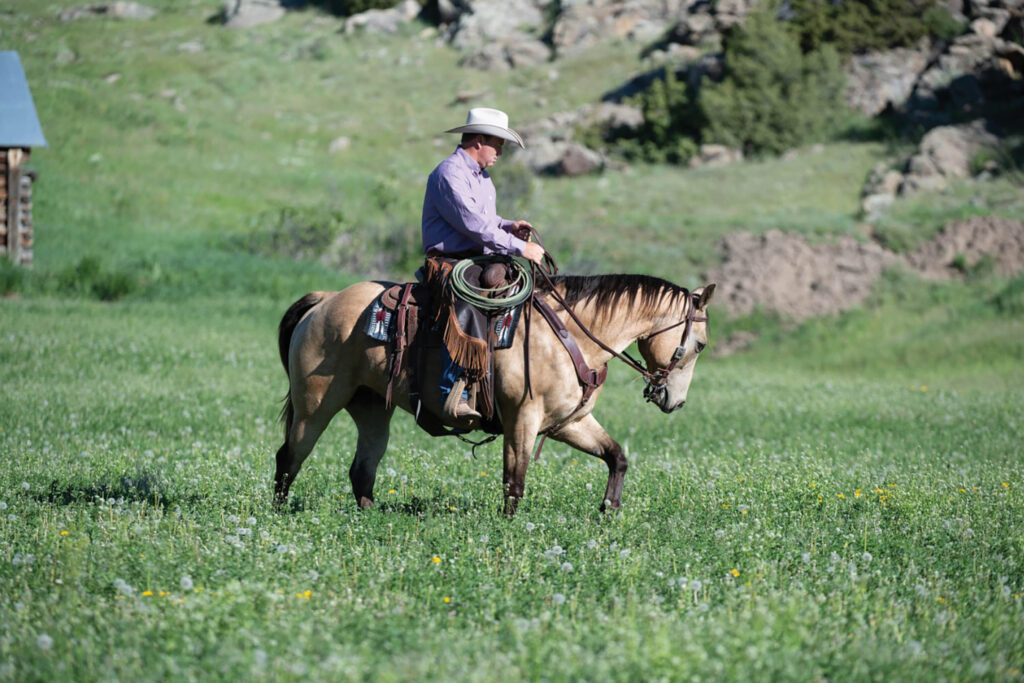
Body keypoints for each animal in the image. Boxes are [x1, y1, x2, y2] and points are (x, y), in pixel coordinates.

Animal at [273, 274, 716, 516]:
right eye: (701, 345)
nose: (675, 401)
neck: (568, 336)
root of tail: (325, 302)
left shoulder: (569, 423)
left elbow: (616, 456)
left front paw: (608, 511)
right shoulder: (522, 419)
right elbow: (513, 481)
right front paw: (509, 529)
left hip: (370, 409)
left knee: (362, 469)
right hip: (315, 406)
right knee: (289, 457)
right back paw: (277, 515)